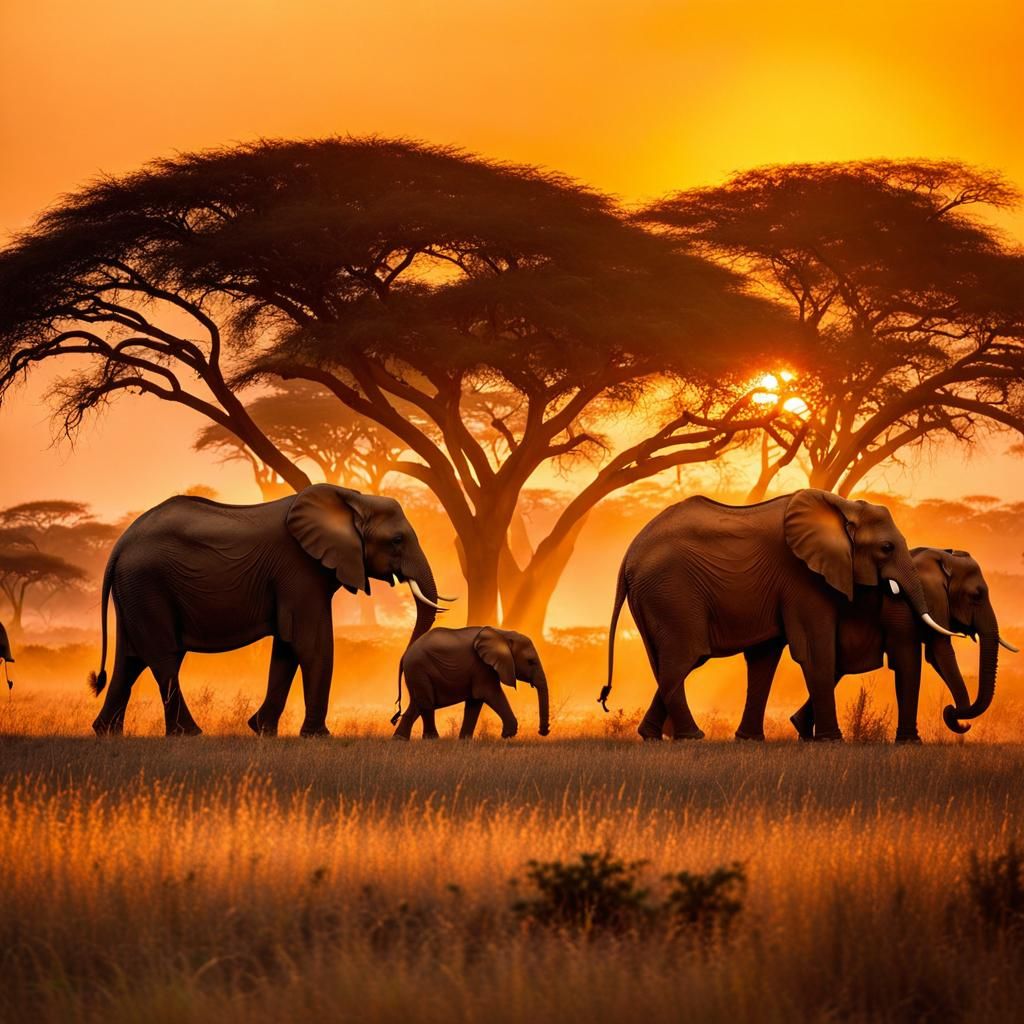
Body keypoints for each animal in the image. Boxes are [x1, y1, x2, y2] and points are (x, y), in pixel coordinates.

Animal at [90, 484, 449, 737]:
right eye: (397, 540)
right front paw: (318, 736)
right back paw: (188, 733)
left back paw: (106, 732)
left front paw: (262, 729)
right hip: (148, 585)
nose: (394, 713)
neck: (352, 499)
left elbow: (288, 647)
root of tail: (119, 545)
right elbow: (312, 643)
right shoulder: (299, 568)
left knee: (131, 659)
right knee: (164, 657)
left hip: (135, 591)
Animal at [392, 626, 551, 740]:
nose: (543, 731)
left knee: (417, 704)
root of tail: (404, 655)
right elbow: (491, 694)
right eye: (530, 662)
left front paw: (465, 740)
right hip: (418, 669)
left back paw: (400, 739)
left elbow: (475, 702)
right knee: (426, 703)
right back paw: (432, 739)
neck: (502, 634)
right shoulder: (482, 667)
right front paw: (508, 734)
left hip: (416, 673)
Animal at [599, 489, 955, 741]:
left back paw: (652, 736)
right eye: (886, 548)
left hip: (655, 598)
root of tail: (628, 556)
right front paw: (831, 741)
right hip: (672, 593)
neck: (841, 507)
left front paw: (750, 740)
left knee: (670, 662)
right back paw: (691, 737)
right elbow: (814, 651)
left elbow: (764, 657)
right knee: (685, 657)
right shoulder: (801, 577)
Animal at [753, 547, 1017, 742]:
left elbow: (936, 655)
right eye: (976, 595)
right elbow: (915, 658)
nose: (954, 713)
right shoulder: (902, 607)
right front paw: (911, 742)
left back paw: (803, 731)